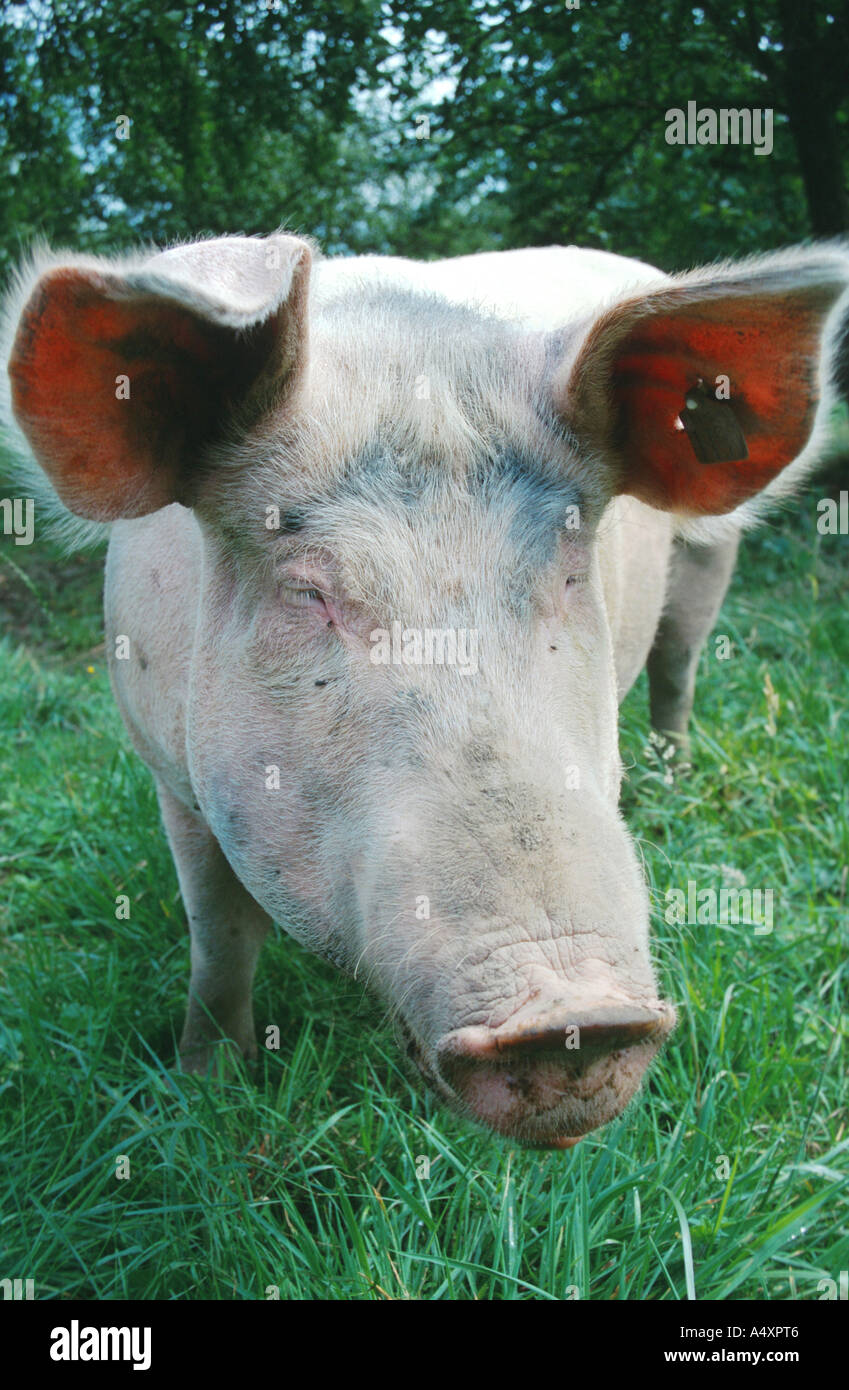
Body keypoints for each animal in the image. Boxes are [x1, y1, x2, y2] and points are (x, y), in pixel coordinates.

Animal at [3, 234, 847, 1148]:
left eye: (568, 575)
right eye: (309, 592)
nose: (572, 1015)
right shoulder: (170, 773)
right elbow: (218, 937)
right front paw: (206, 1086)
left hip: (709, 558)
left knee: (678, 665)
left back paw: (672, 777)